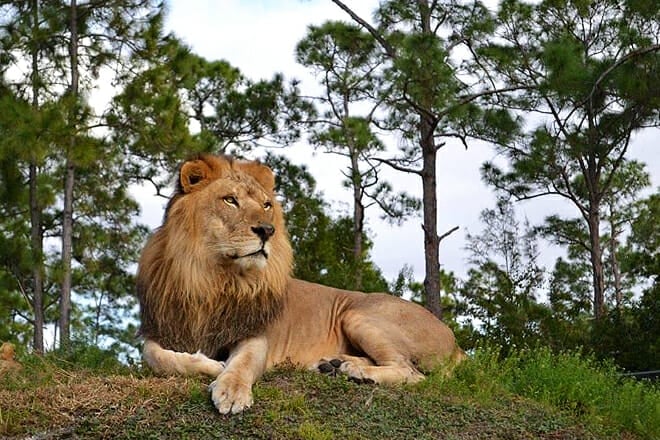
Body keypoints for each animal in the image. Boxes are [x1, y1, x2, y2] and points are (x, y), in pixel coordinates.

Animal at [137, 154, 465, 415]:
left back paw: (357, 371)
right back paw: (332, 364)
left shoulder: (256, 334)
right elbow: (154, 356)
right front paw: (210, 364)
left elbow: (243, 363)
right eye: (230, 199)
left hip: (357, 314)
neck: (214, 279)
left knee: (413, 372)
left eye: (266, 205)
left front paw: (230, 388)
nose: (267, 230)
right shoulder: (162, 328)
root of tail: (456, 343)